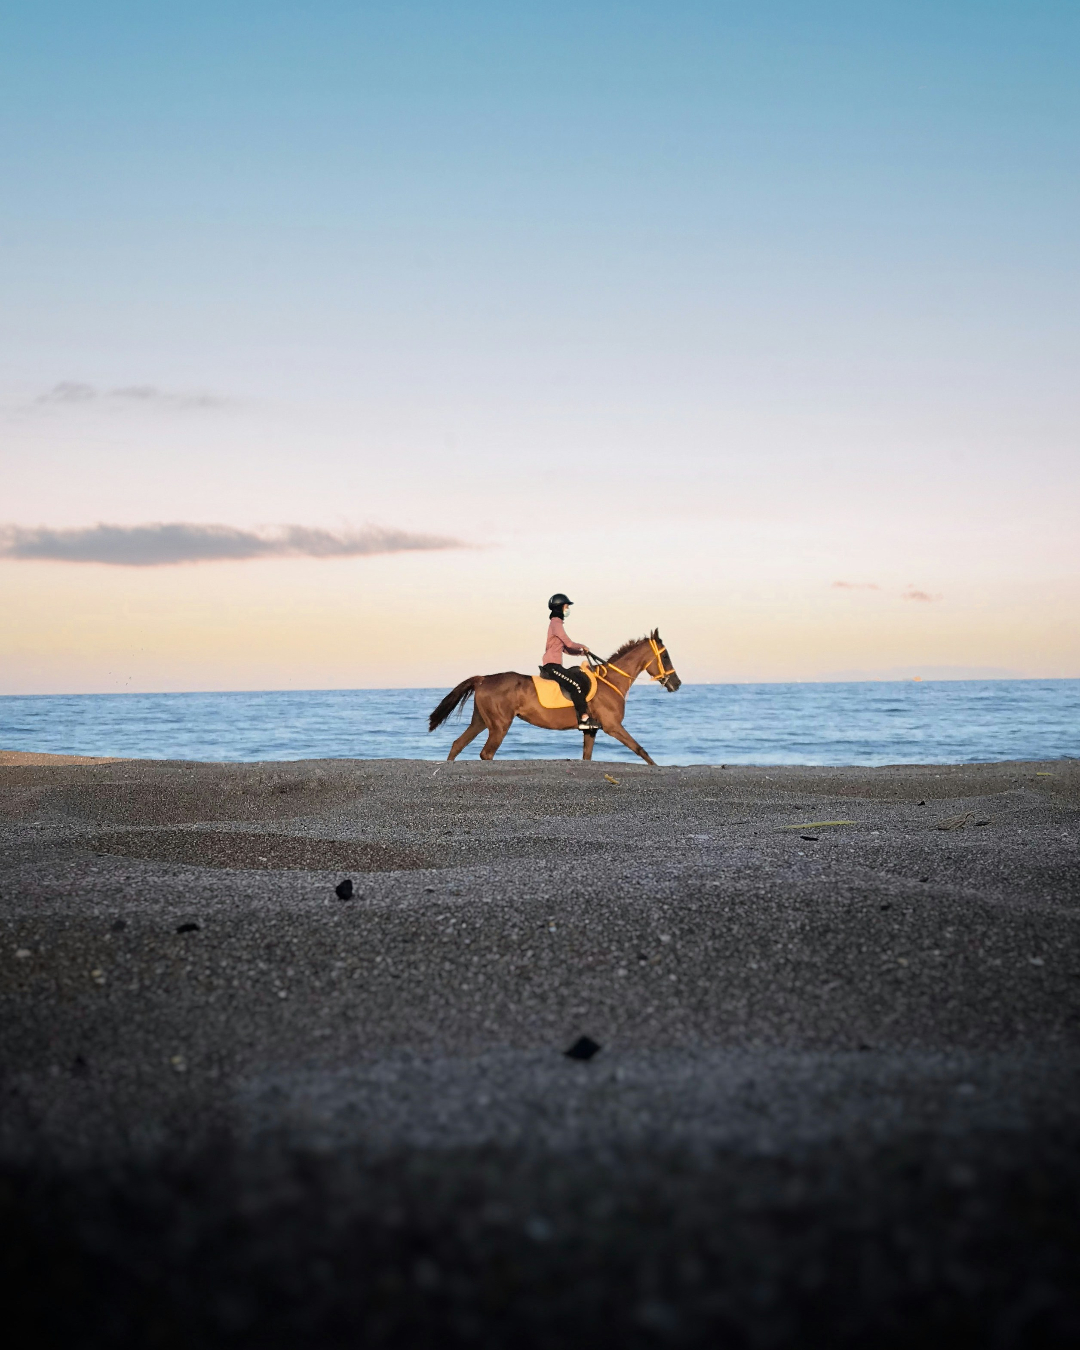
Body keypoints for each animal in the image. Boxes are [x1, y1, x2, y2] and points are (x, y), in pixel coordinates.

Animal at [428, 630, 681, 765]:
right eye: (665, 656)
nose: (676, 684)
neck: (611, 682)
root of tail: (483, 679)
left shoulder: (591, 730)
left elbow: (587, 757)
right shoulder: (612, 726)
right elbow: (640, 749)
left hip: (481, 721)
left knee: (458, 744)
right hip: (499, 725)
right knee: (486, 753)